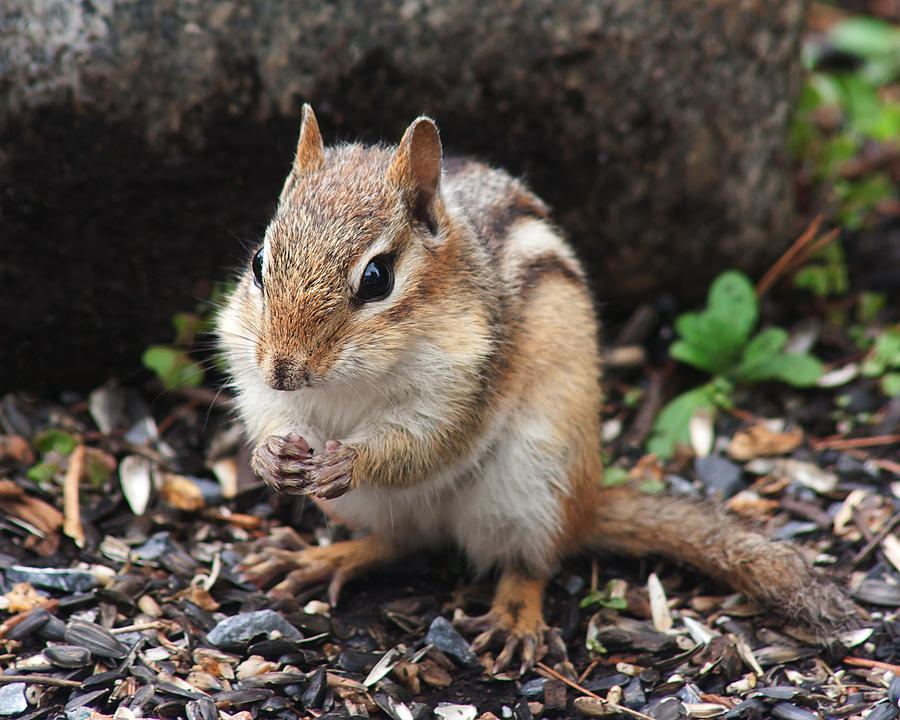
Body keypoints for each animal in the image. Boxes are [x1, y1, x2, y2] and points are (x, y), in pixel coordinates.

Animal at [217, 105, 858, 673]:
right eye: (258, 262)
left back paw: (513, 618)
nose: (284, 369)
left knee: (527, 562)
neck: (351, 382)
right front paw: (271, 456)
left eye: (377, 279)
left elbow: (423, 446)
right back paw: (328, 556)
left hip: (533, 480)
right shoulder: (254, 372)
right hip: (386, 506)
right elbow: (269, 414)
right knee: (400, 541)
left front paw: (348, 459)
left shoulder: (463, 387)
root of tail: (589, 501)